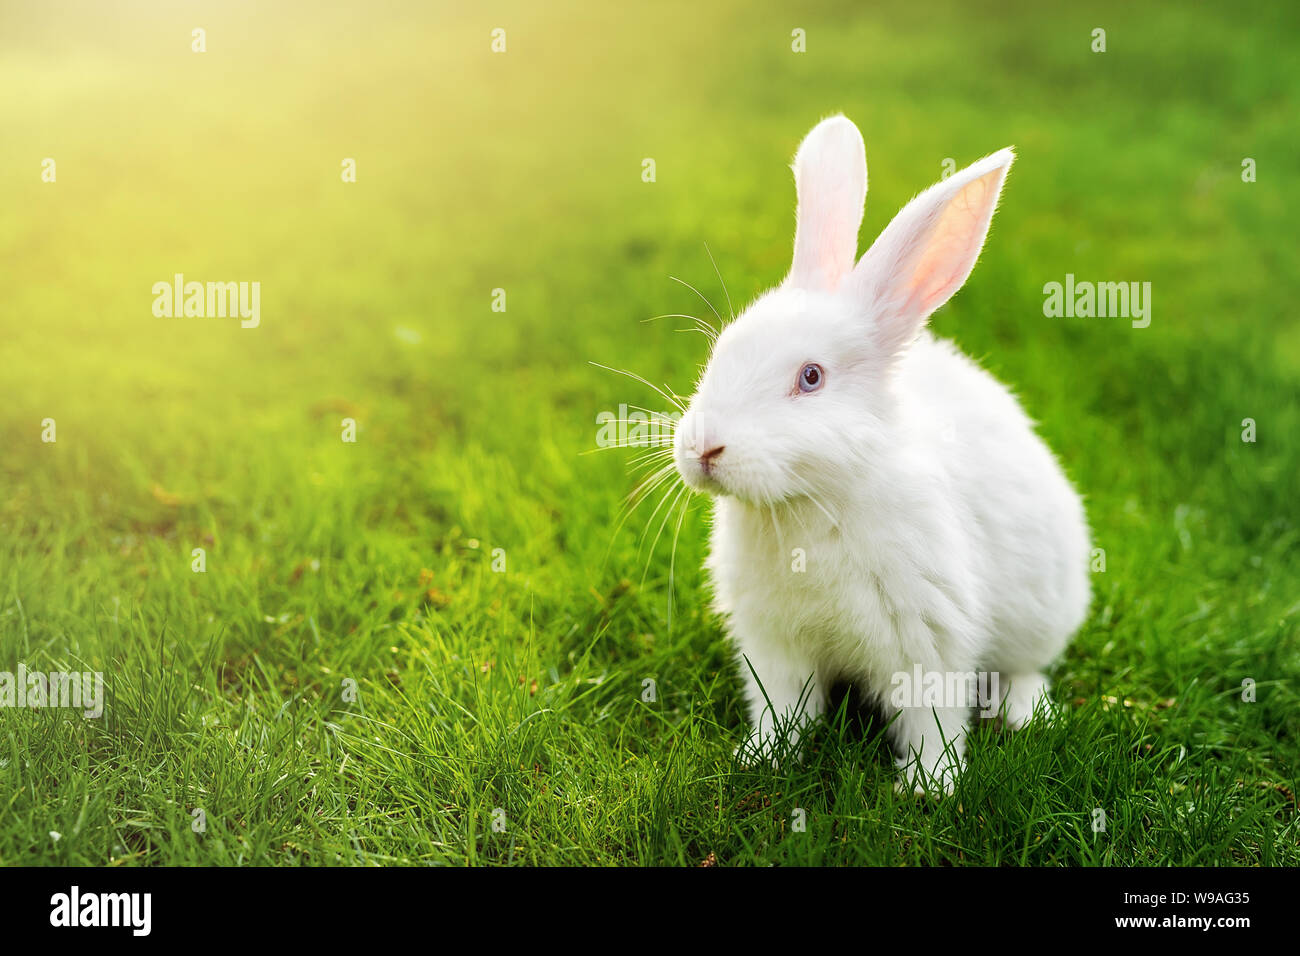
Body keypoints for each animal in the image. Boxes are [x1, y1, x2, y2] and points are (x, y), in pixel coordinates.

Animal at [671, 115, 1091, 794]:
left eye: (811, 377)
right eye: (722, 350)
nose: (703, 448)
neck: (812, 502)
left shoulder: (928, 642)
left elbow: (932, 721)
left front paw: (929, 787)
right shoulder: (774, 646)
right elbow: (782, 708)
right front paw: (763, 758)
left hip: (1041, 616)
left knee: (1025, 668)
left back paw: (1026, 713)